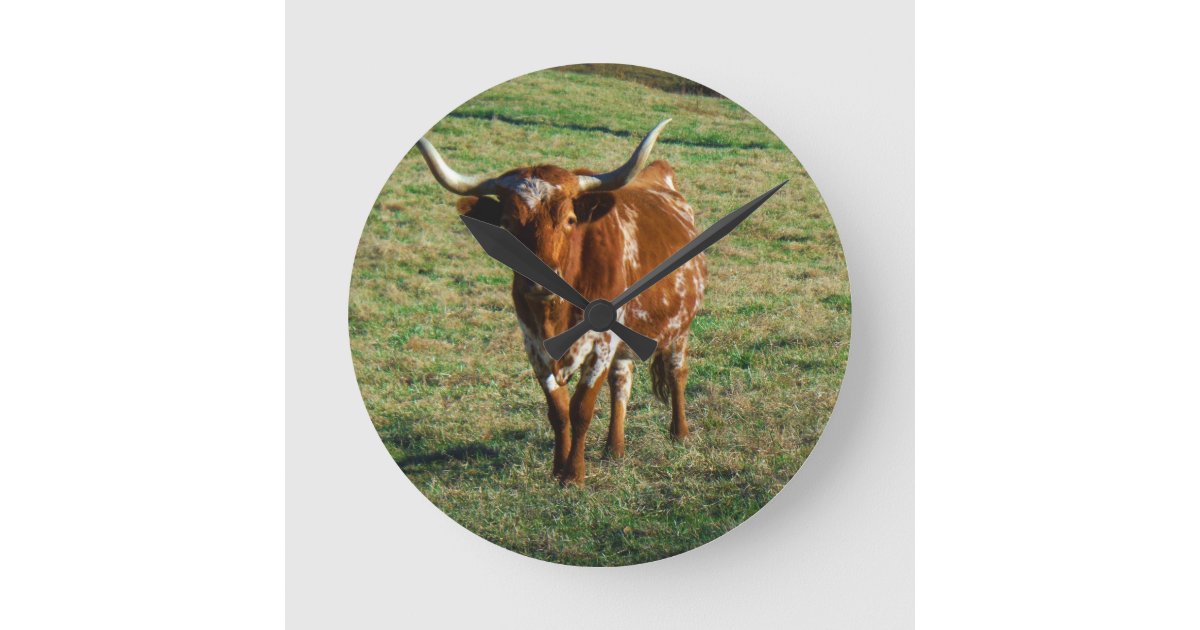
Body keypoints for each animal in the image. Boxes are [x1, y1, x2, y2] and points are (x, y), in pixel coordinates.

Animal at [415, 120, 706, 485]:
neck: (557, 312)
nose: (539, 281)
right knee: (621, 382)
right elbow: (558, 412)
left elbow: (581, 409)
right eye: (506, 225)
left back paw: (679, 433)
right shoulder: (535, 347)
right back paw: (614, 448)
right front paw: (557, 469)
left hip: (680, 327)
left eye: (569, 220)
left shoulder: (601, 345)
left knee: (676, 371)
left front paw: (574, 475)